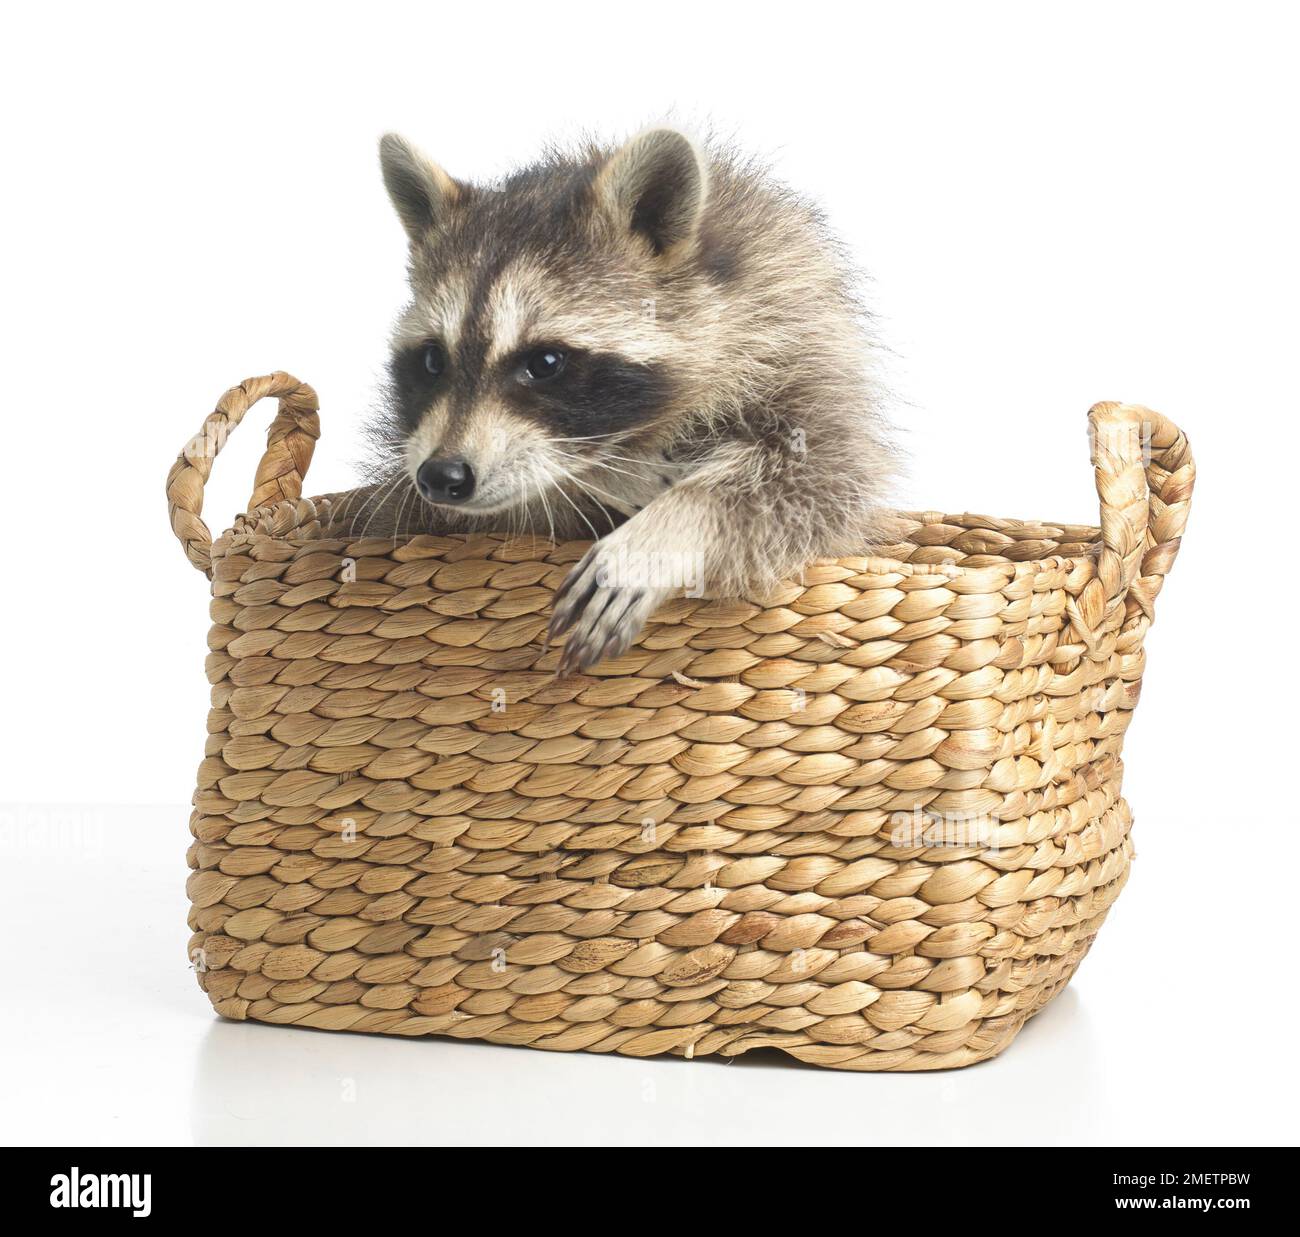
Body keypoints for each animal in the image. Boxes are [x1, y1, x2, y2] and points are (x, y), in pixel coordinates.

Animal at [364, 128, 897, 674]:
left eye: (546, 363)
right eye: (433, 360)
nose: (442, 475)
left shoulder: (798, 338)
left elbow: (823, 473)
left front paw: (669, 524)